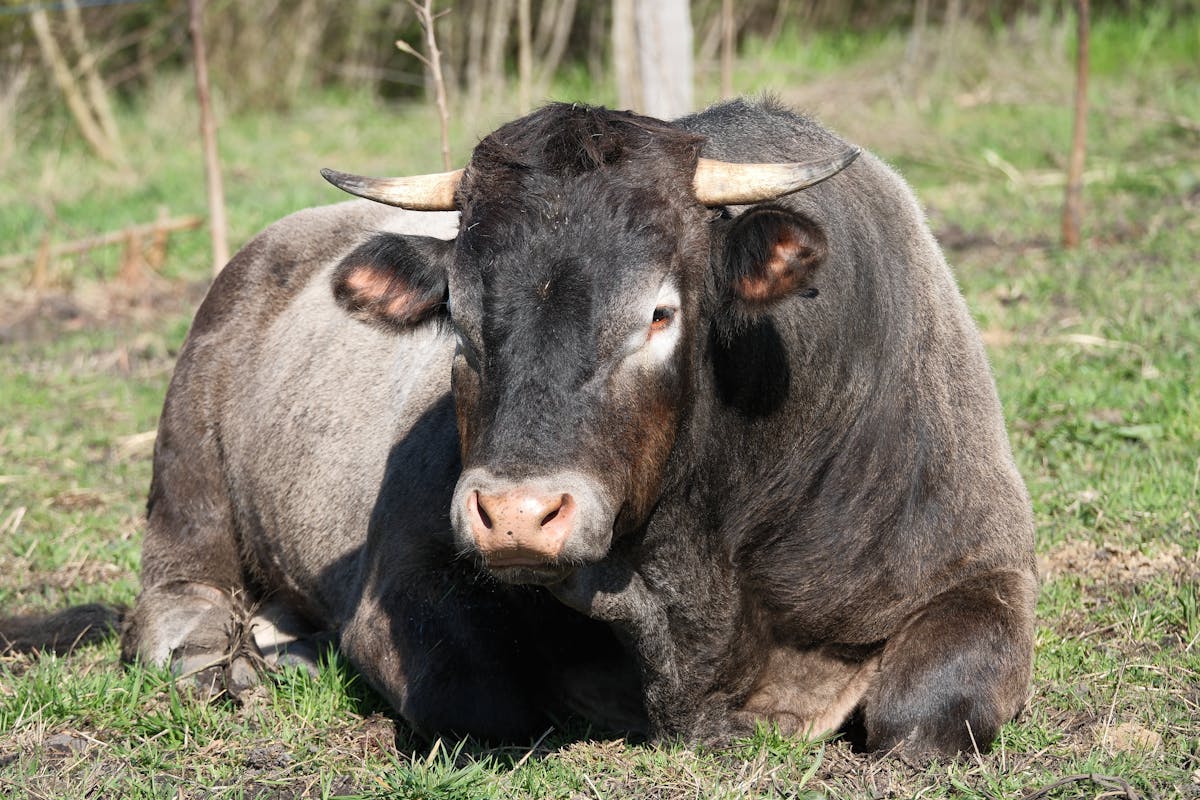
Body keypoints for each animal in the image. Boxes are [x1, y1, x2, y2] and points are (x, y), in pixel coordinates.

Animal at [111, 98, 1036, 756]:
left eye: (659, 313)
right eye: (458, 315)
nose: (517, 515)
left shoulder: (983, 570)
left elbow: (923, 717)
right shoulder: (400, 587)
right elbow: (483, 698)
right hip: (187, 477)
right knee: (173, 593)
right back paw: (218, 657)